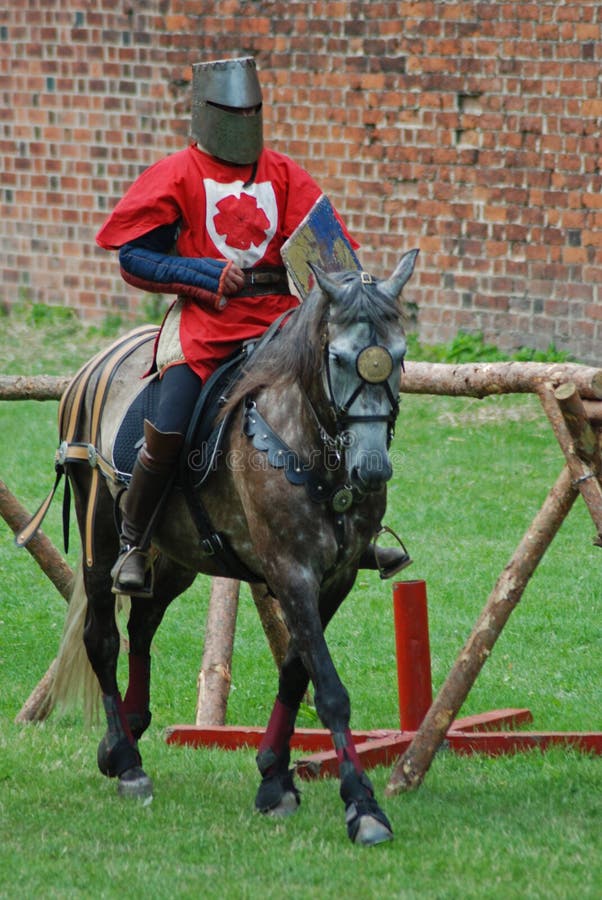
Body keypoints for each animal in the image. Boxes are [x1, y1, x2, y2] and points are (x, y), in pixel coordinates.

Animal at [48, 250, 418, 846]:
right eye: (338, 357)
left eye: (400, 355)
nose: (371, 469)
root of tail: (94, 364)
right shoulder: (292, 573)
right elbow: (328, 688)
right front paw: (362, 806)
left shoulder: (333, 579)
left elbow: (296, 669)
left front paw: (274, 777)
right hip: (98, 533)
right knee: (102, 638)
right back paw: (126, 761)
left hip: (175, 557)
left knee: (142, 625)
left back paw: (129, 728)